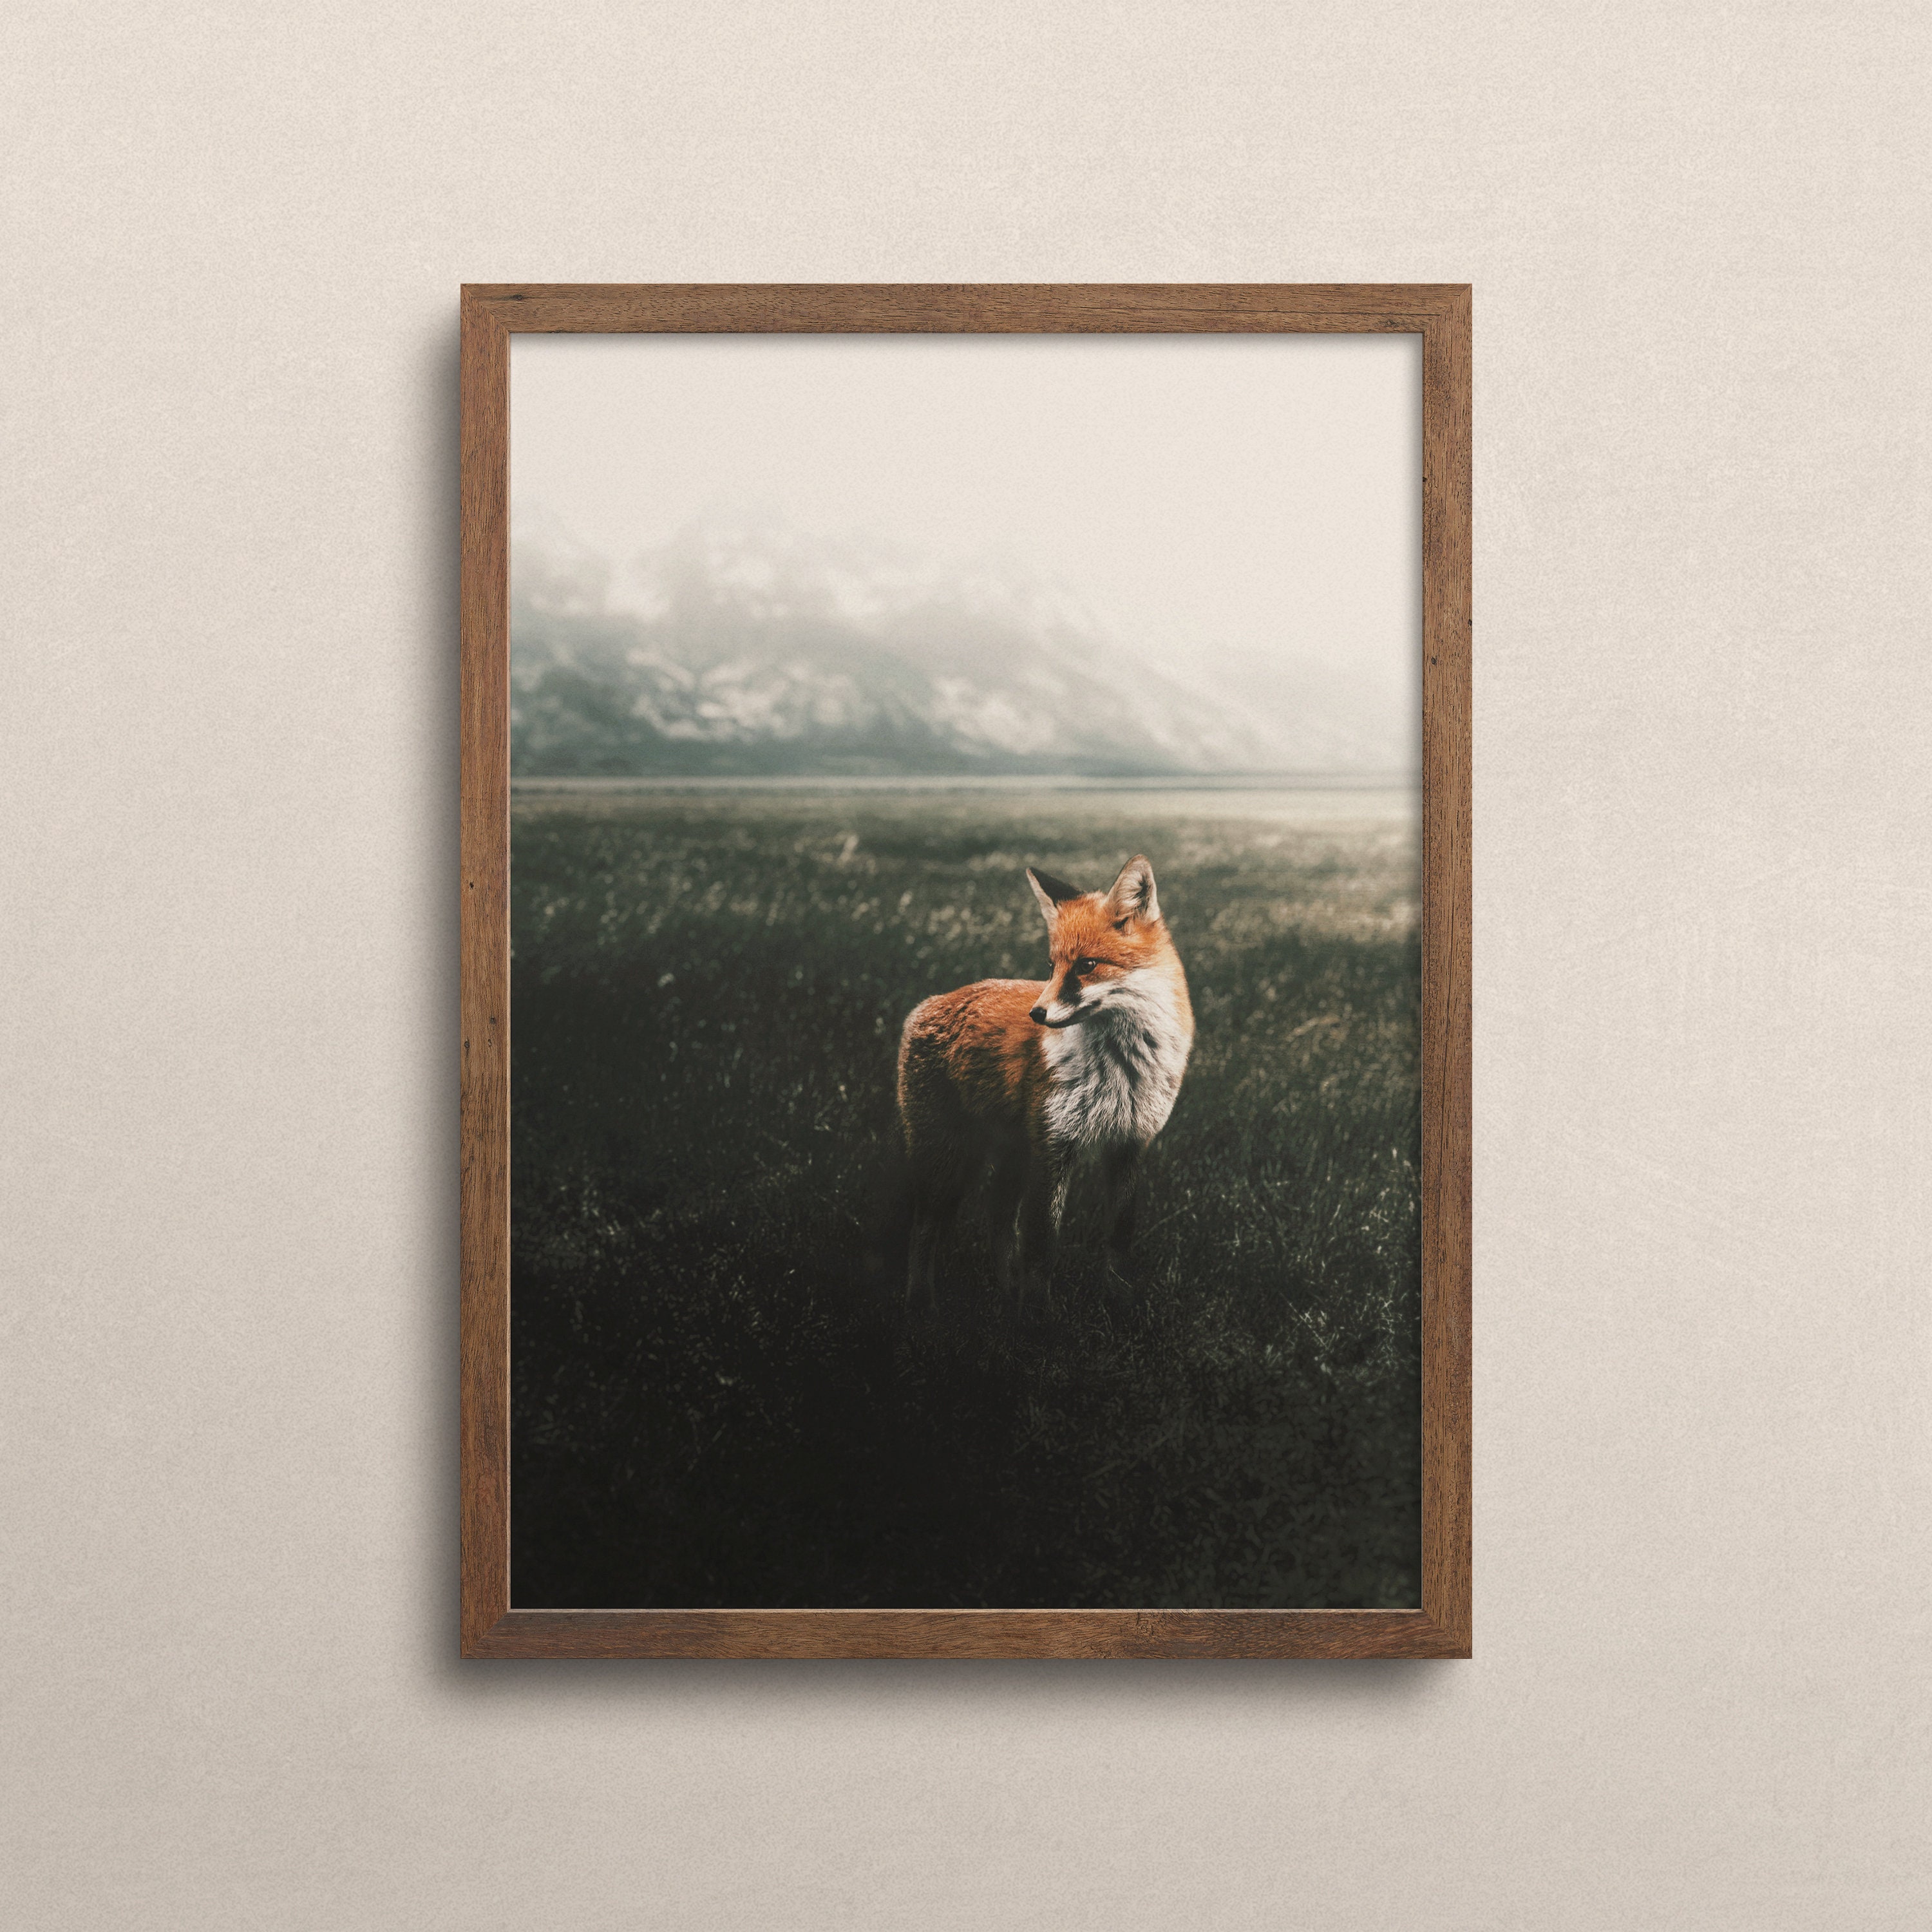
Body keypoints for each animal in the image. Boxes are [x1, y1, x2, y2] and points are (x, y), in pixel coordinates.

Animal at [896, 854, 1193, 1313]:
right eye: (1051, 968)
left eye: (1087, 965)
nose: (1037, 1014)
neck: (1120, 1068)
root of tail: (928, 1004)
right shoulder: (1055, 1146)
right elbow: (1041, 1245)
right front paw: (1038, 1316)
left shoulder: (1129, 1143)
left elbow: (1119, 1237)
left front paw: (1118, 1302)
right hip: (947, 1158)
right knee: (924, 1226)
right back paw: (921, 1302)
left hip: (1012, 1154)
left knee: (998, 1219)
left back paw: (1006, 1293)